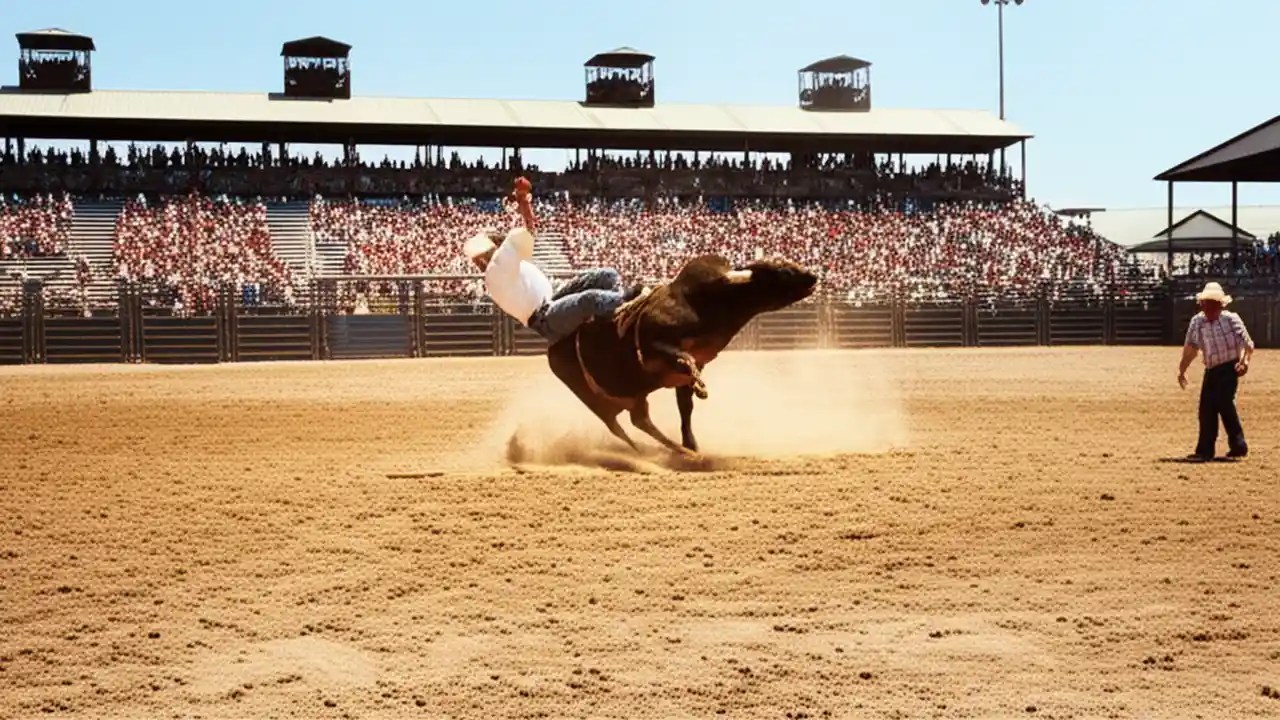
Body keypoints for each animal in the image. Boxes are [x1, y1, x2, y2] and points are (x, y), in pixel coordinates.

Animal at [546, 254, 819, 456]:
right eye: (781, 271)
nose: (813, 276)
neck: (705, 302)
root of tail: (552, 346)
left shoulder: (686, 371)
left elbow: (686, 405)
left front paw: (692, 443)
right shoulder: (655, 345)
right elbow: (685, 362)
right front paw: (701, 390)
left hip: (632, 396)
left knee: (638, 420)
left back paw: (676, 451)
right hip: (595, 400)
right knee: (619, 427)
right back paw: (647, 453)